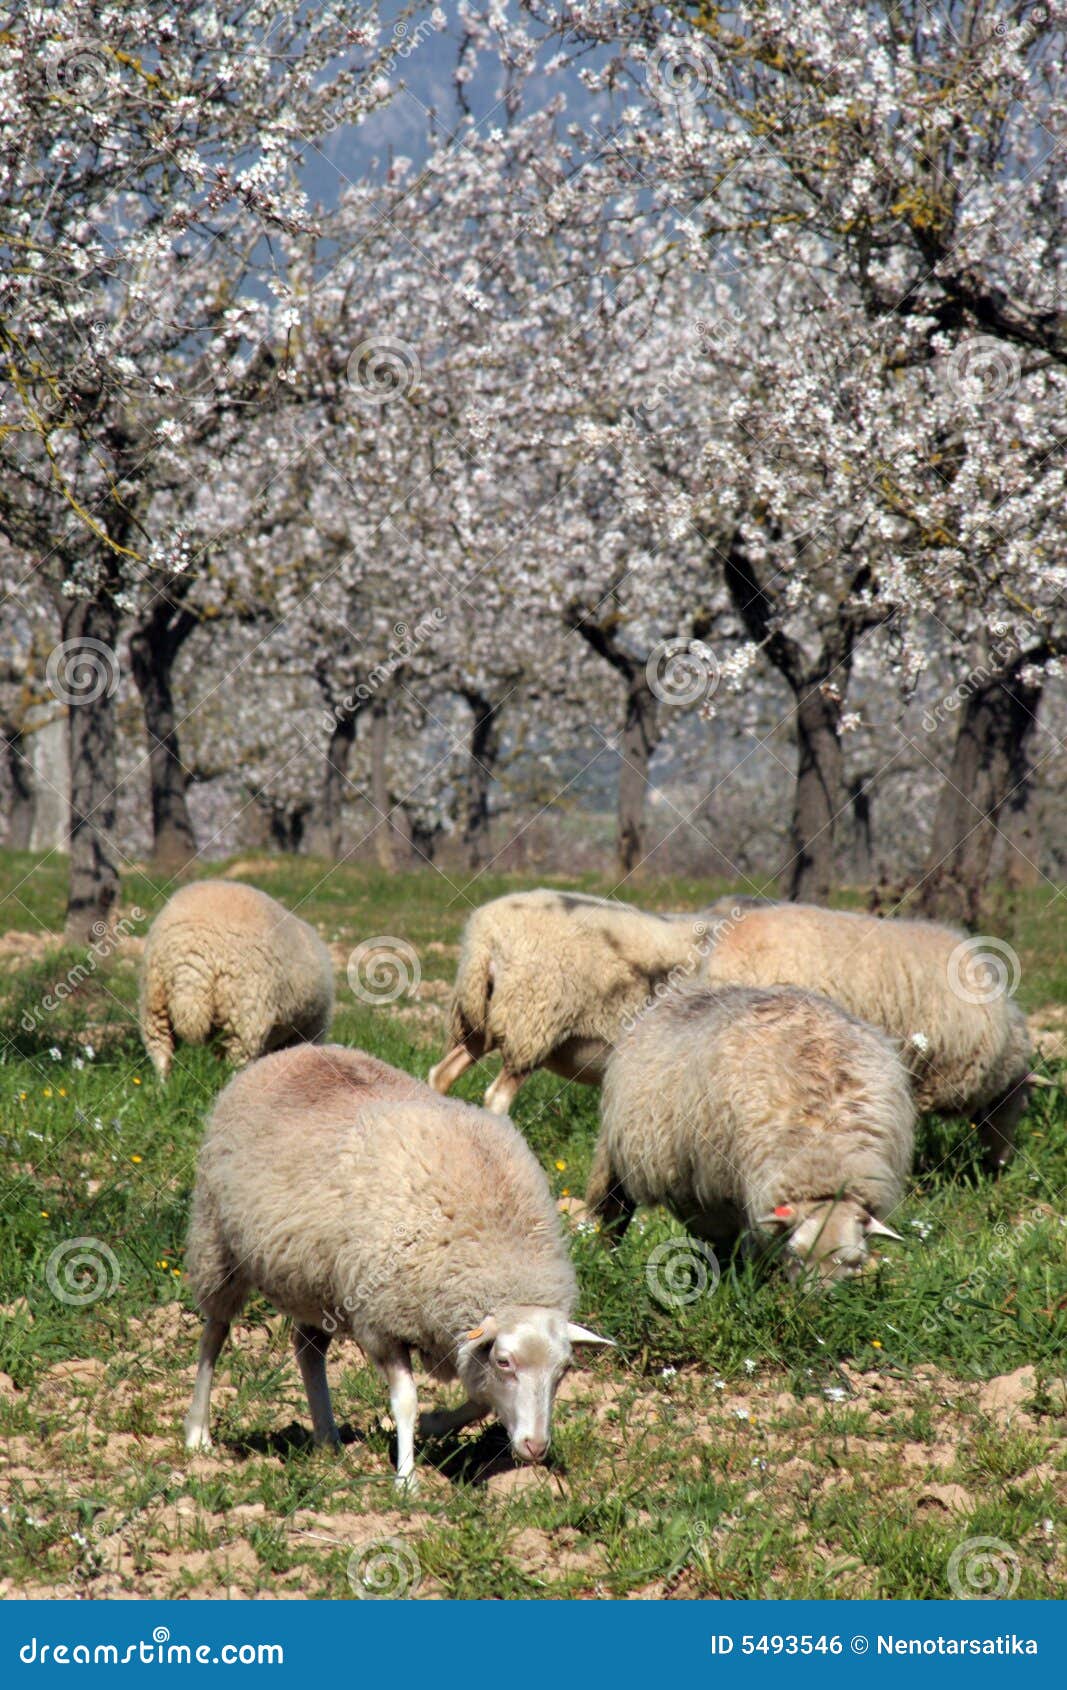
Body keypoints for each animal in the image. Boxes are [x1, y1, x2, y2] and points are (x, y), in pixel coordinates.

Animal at [139, 880, 334, 1079]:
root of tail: (192, 952)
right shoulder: (311, 1028)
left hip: (154, 1006)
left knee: (160, 1050)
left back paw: (164, 1082)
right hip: (244, 1015)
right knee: (237, 1060)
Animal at [183, 1043, 612, 1485]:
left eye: (563, 1370)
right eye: (505, 1362)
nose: (535, 1447)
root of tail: (300, 1050)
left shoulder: (454, 1334)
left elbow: (480, 1400)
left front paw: (435, 1423)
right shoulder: (384, 1324)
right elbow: (406, 1399)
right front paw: (406, 1479)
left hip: (318, 1279)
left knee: (307, 1348)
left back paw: (327, 1439)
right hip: (217, 1241)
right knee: (214, 1334)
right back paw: (199, 1434)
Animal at [588, 985, 915, 1284]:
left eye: (854, 1261)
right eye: (796, 1253)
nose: (816, 1303)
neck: (823, 1146)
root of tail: (684, 991)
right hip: (623, 1151)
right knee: (612, 1207)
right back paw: (606, 1258)